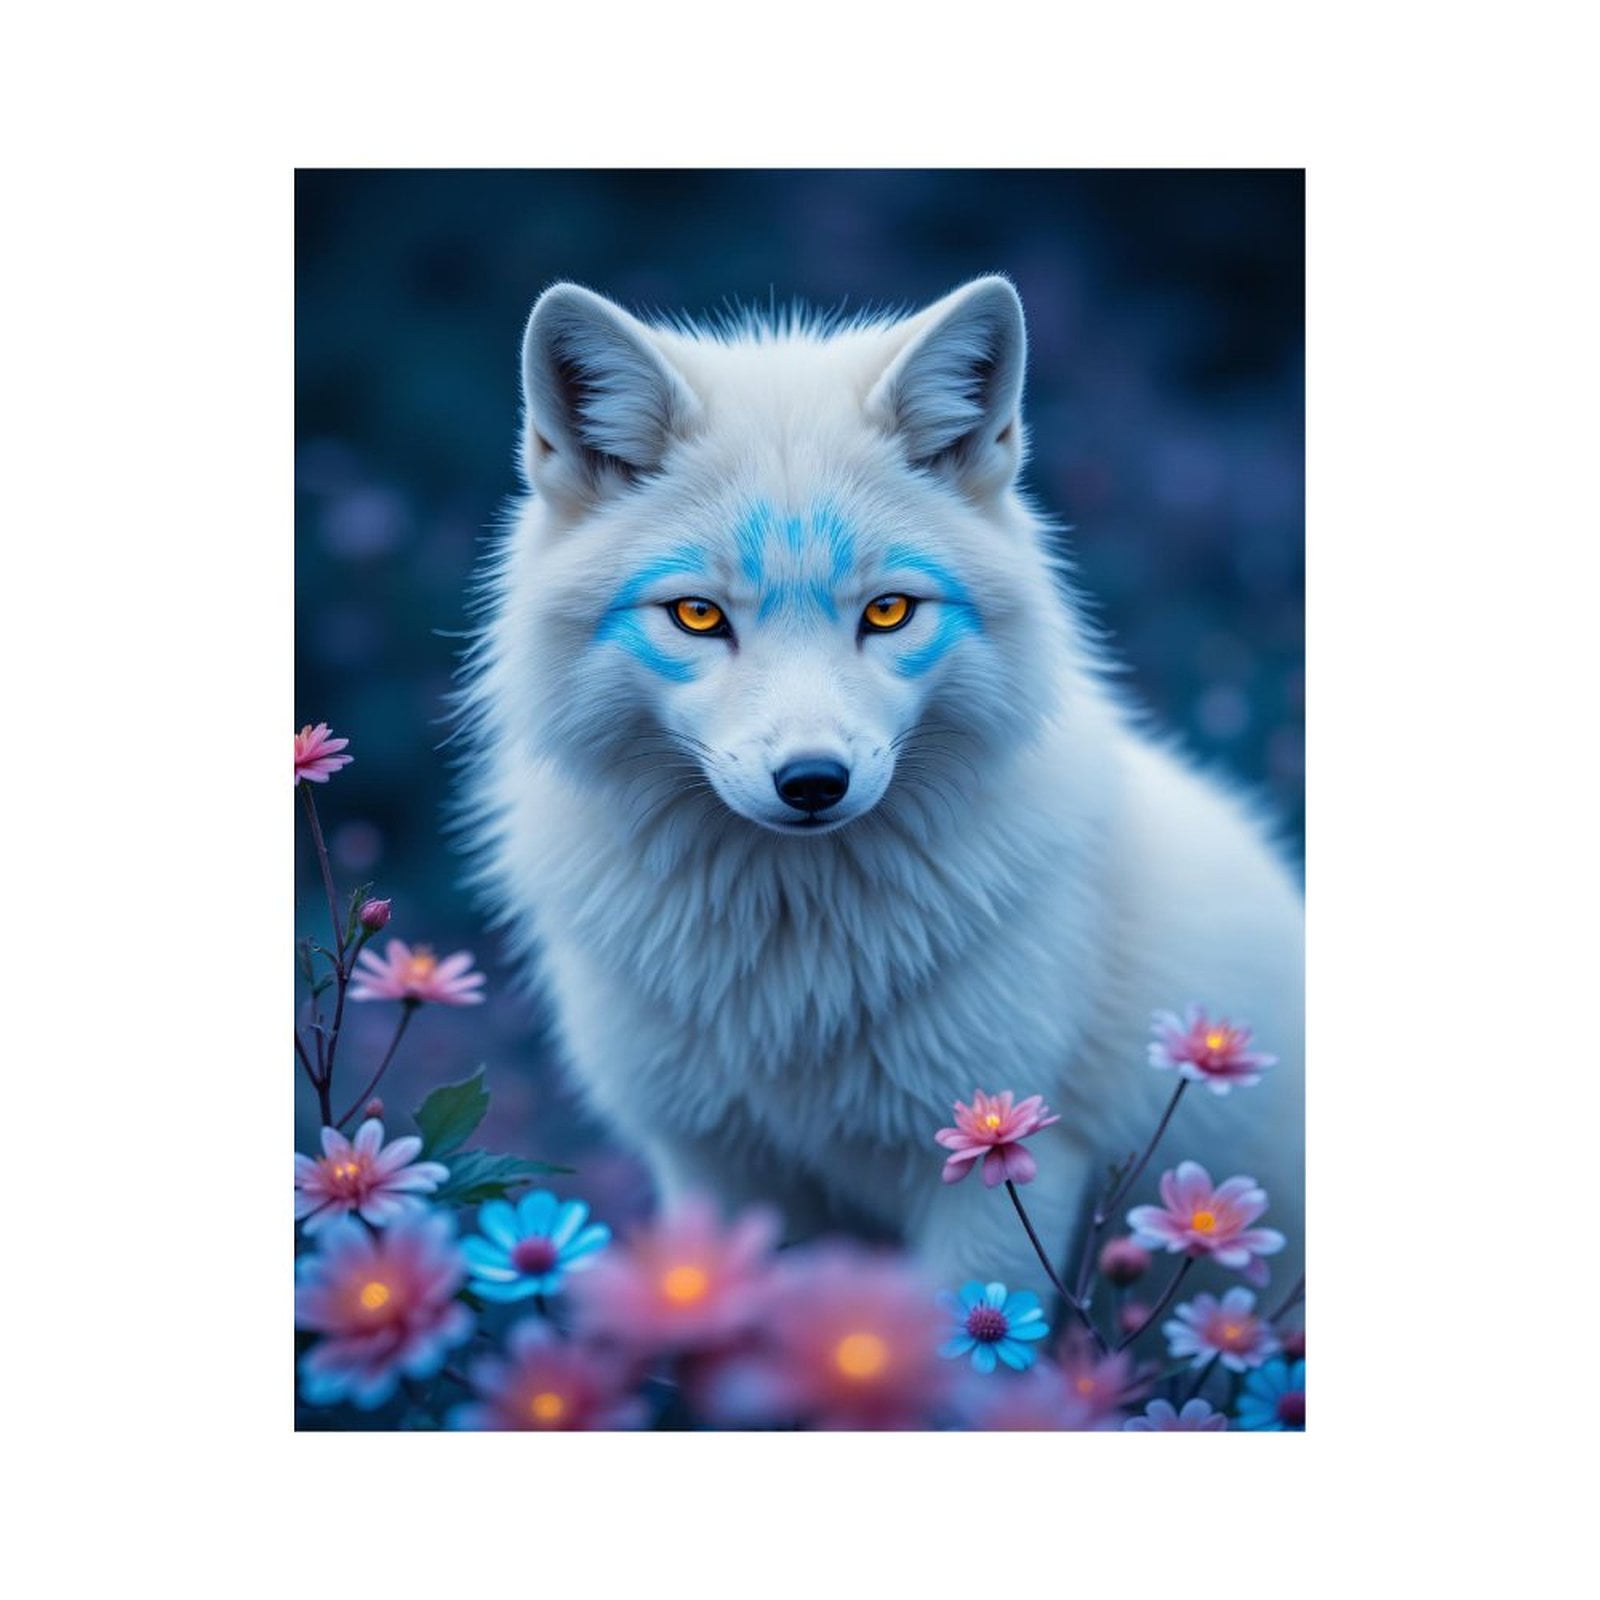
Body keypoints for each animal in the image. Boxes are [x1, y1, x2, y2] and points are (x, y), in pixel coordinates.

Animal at [455, 275, 1304, 1309]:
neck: (791, 966)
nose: (814, 782)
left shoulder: (1008, 1162)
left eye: (889, 611)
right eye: (697, 616)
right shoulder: (713, 1163)